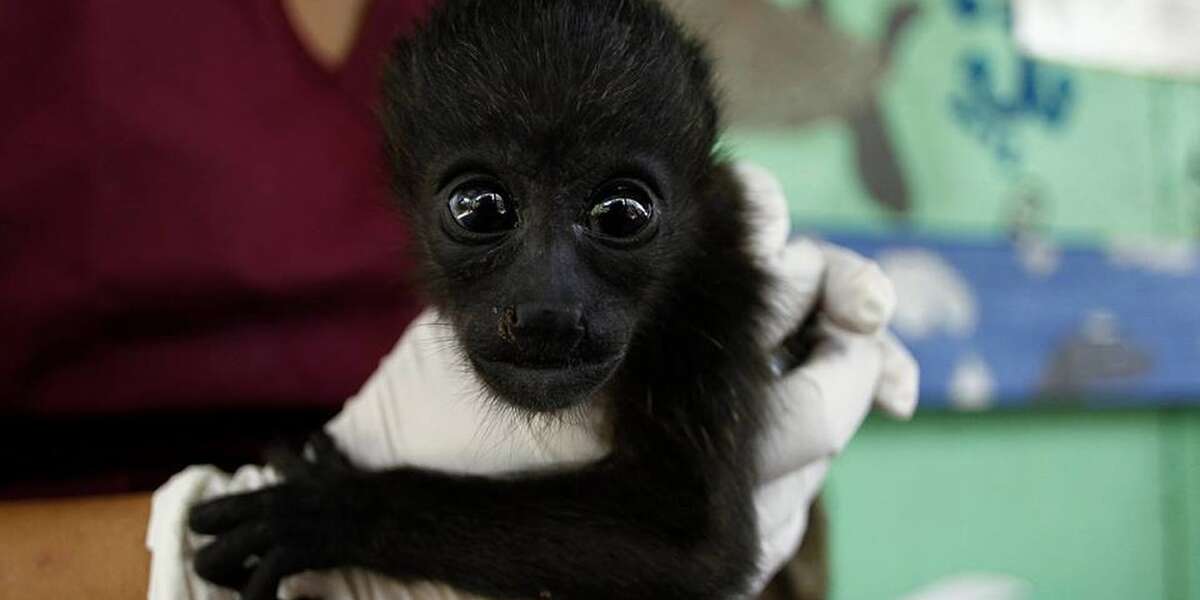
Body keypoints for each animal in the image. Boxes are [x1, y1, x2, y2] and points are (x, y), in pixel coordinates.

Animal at [188, 1, 791, 598]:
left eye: (623, 213)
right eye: (480, 207)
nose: (548, 312)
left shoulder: (717, 280)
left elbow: (691, 534)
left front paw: (330, 509)